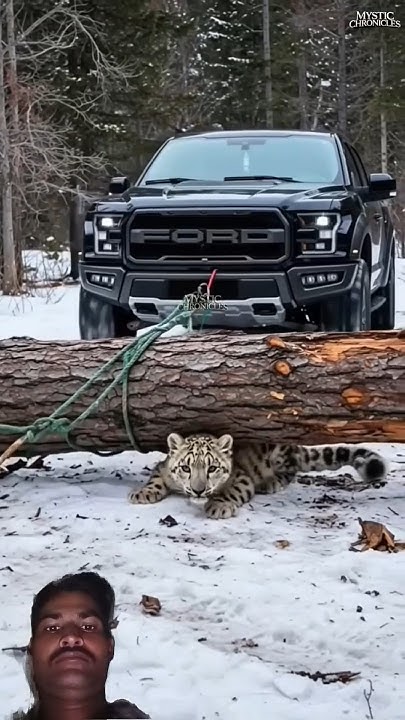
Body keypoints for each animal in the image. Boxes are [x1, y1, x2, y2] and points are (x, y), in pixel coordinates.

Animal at [127, 432, 388, 519]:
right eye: (185, 467)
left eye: (212, 468)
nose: (199, 490)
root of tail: (293, 444)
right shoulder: (162, 468)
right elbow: (155, 480)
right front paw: (142, 493)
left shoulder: (241, 478)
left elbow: (231, 492)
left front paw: (218, 506)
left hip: (279, 455)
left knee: (291, 471)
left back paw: (270, 483)